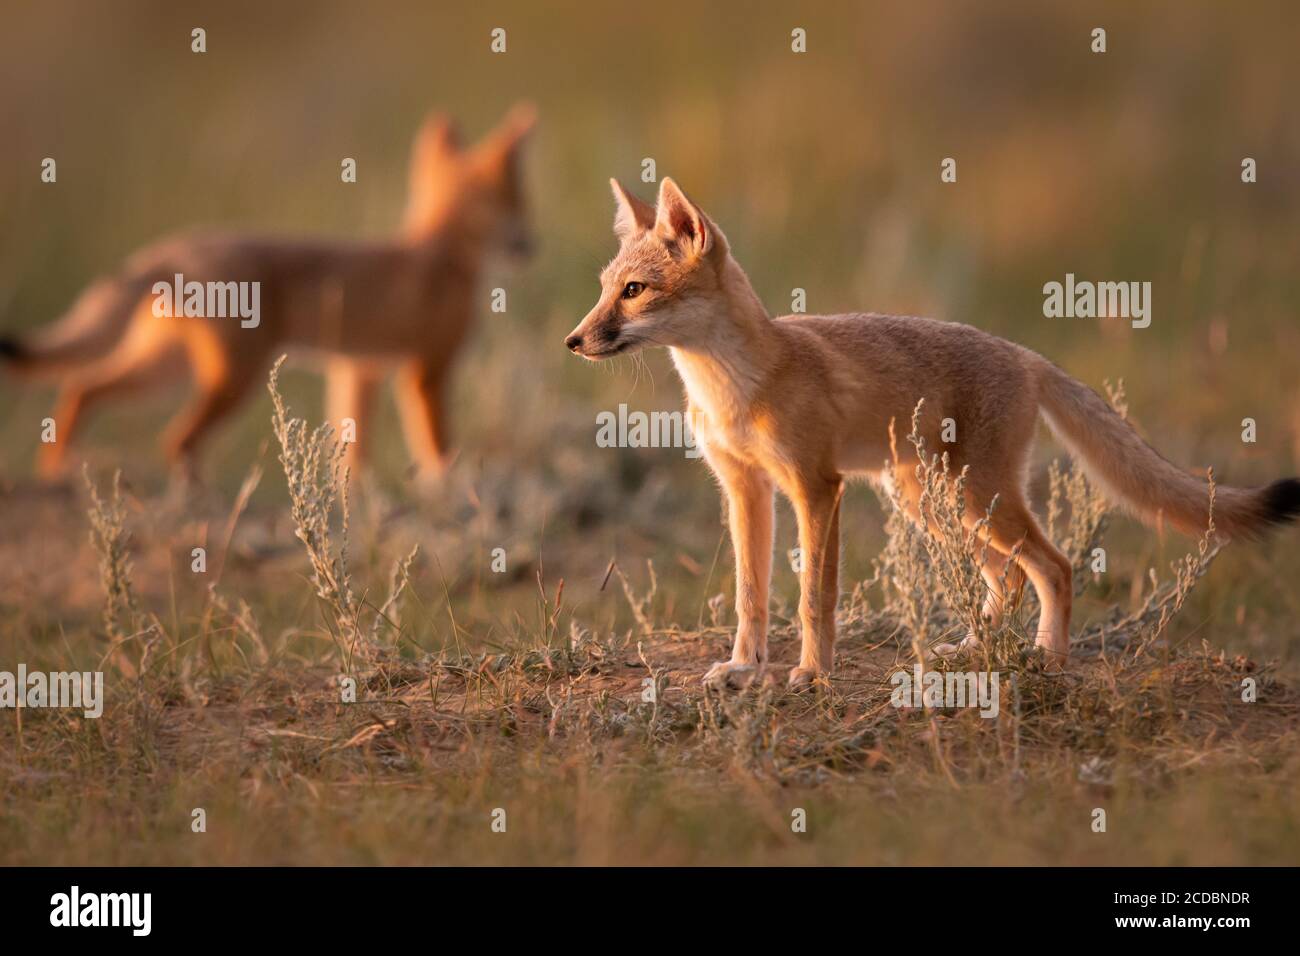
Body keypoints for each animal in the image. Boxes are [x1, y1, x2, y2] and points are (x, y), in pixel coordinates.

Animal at [0, 103, 537, 481]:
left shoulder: (358, 369)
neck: (438, 249)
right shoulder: (425, 371)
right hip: (230, 378)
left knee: (80, 388)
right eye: (520, 206)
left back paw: (53, 474)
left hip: (165, 369)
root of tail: (179, 244)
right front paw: (451, 492)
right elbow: (438, 451)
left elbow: (357, 453)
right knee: (173, 440)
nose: (532, 246)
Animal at [565, 176, 1300, 687]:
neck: (735, 387)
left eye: (634, 291)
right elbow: (751, 597)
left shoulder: (817, 487)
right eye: (603, 288)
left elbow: (814, 599)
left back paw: (1048, 660)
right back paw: (977, 649)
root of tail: (1027, 354)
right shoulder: (745, 488)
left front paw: (812, 674)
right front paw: (744, 669)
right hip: (929, 500)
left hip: (972, 499)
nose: (573, 341)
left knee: (1055, 565)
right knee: (1008, 577)